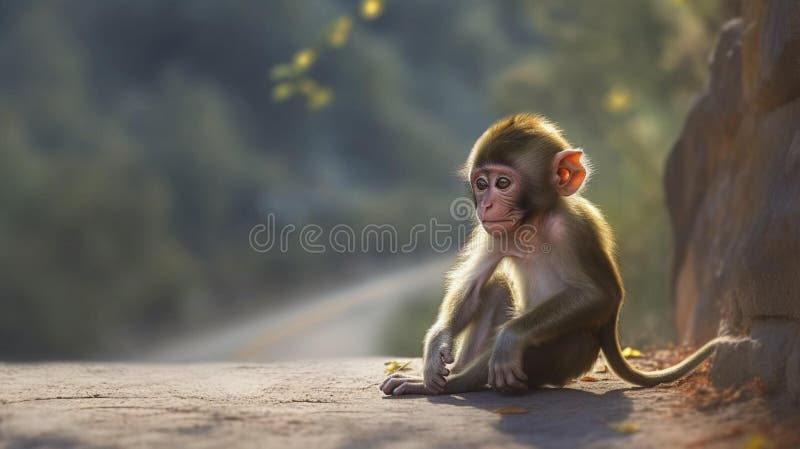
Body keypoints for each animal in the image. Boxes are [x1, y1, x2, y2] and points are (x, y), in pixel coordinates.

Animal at [380, 113, 725, 396]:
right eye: (480, 183)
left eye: (502, 183)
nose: (485, 205)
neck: (534, 223)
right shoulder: (495, 233)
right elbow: (474, 285)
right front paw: (436, 348)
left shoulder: (574, 228)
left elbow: (600, 295)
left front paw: (509, 338)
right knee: (495, 287)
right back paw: (439, 380)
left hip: (570, 356)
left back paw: (453, 383)